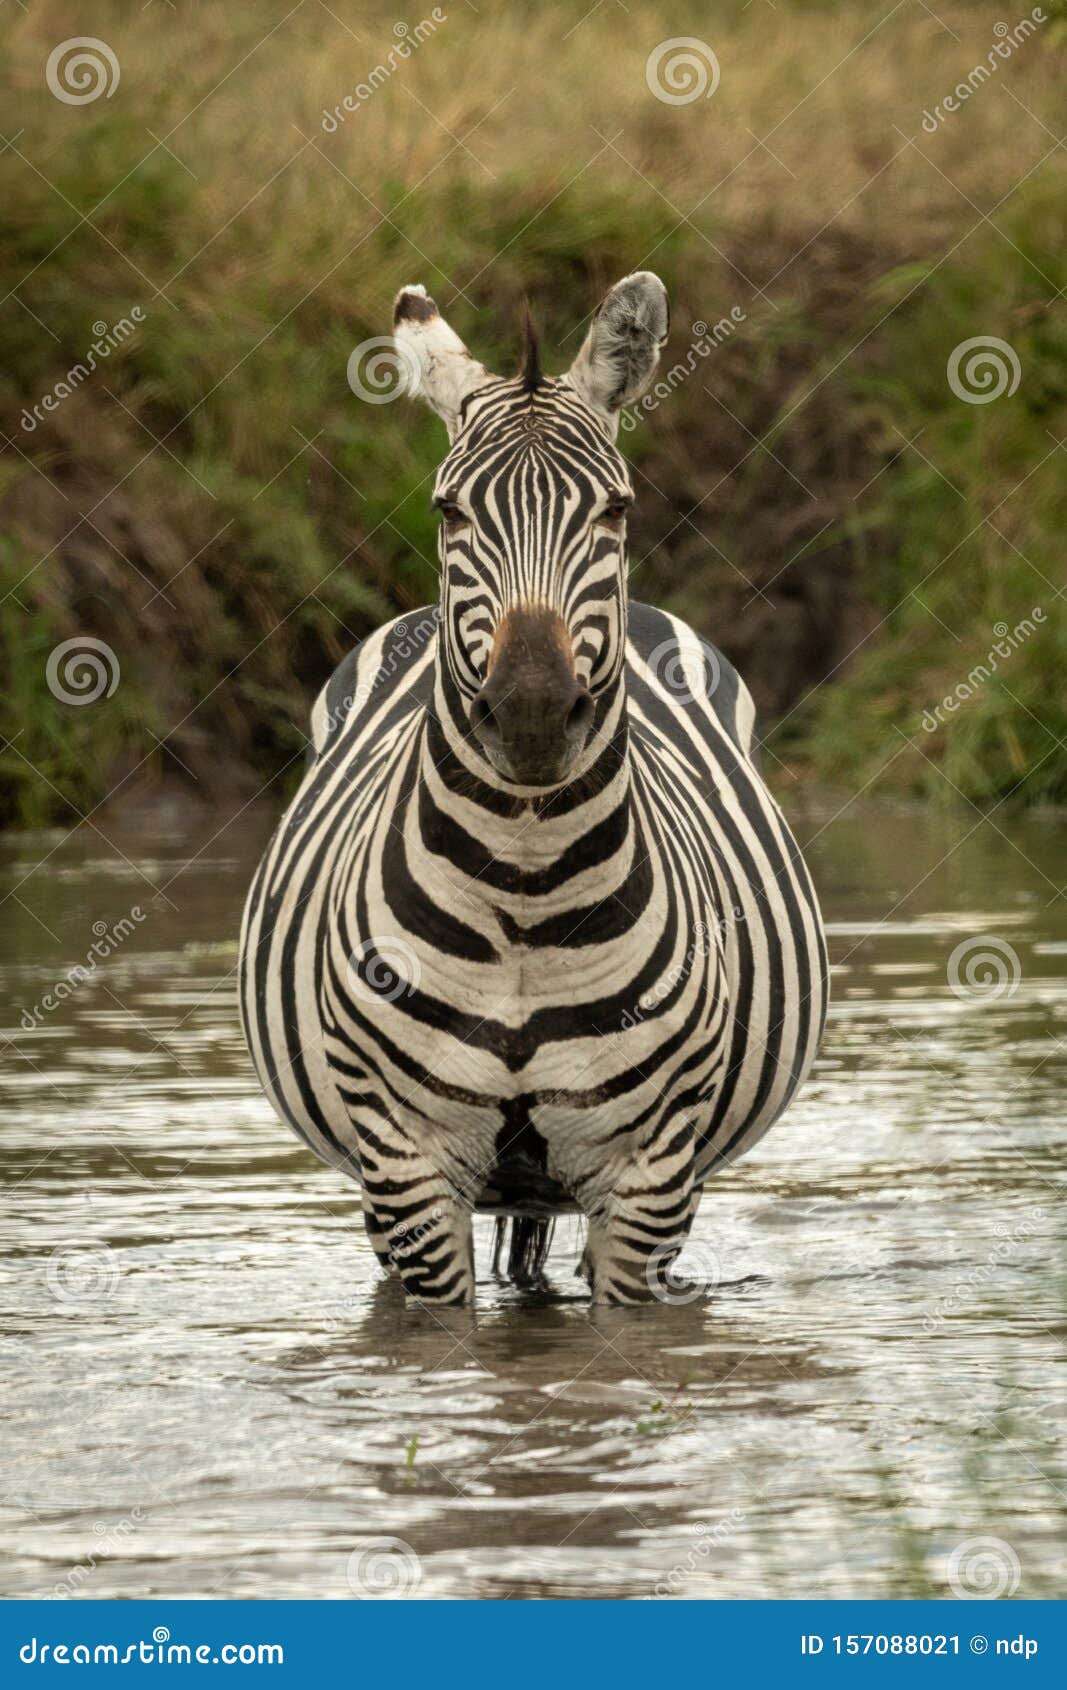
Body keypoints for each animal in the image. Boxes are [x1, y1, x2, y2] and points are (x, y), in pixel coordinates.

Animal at [239, 271, 828, 1306]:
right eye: (448, 513)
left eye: (615, 510)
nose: (532, 714)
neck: (523, 885)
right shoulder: (407, 1167)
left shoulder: (647, 1179)